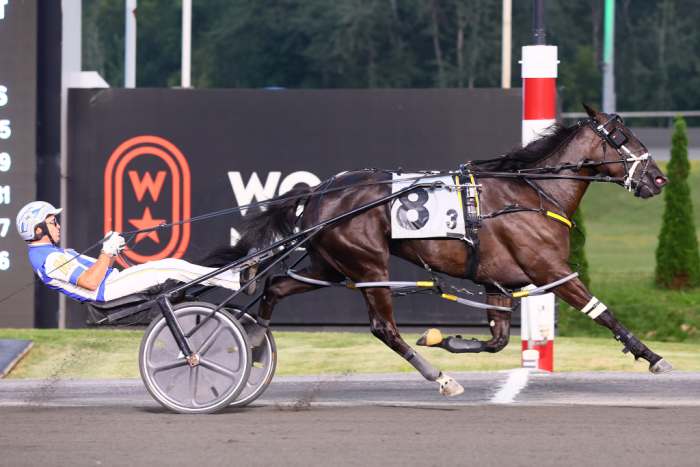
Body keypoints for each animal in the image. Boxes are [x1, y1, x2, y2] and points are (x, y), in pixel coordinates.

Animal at [210, 104, 671, 396]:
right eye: (623, 136)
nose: (660, 179)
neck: (532, 192)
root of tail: (321, 192)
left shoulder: (497, 282)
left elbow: (497, 341)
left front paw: (445, 338)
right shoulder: (551, 270)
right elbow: (603, 313)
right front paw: (653, 357)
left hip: (329, 265)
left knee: (275, 285)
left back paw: (253, 342)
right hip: (368, 264)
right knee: (383, 328)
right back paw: (441, 378)